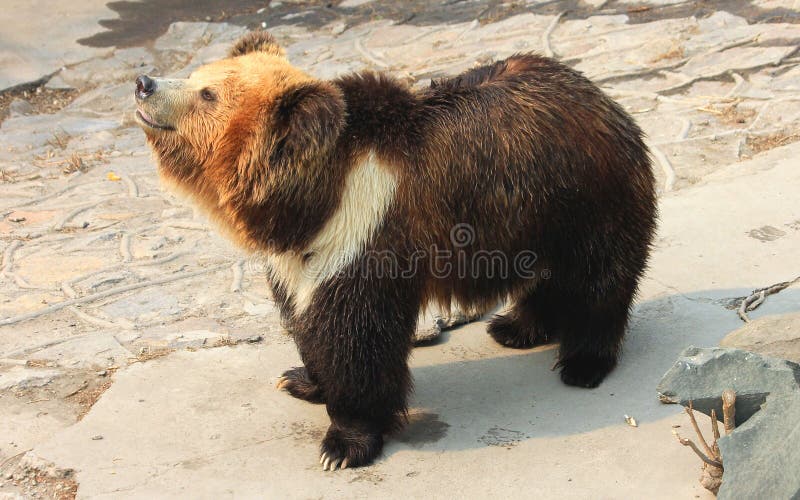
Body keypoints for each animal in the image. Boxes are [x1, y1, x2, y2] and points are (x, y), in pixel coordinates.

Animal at [134, 30, 657, 471]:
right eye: (197, 74)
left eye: (208, 93)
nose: (143, 83)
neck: (312, 202)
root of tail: (599, 94)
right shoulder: (301, 256)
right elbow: (304, 318)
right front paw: (300, 378)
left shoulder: (367, 234)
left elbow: (356, 337)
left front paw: (343, 444)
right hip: (536, 218)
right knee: (547, 277)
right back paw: (513, 327)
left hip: (587, 197)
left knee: (597, 281)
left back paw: (582, 363)